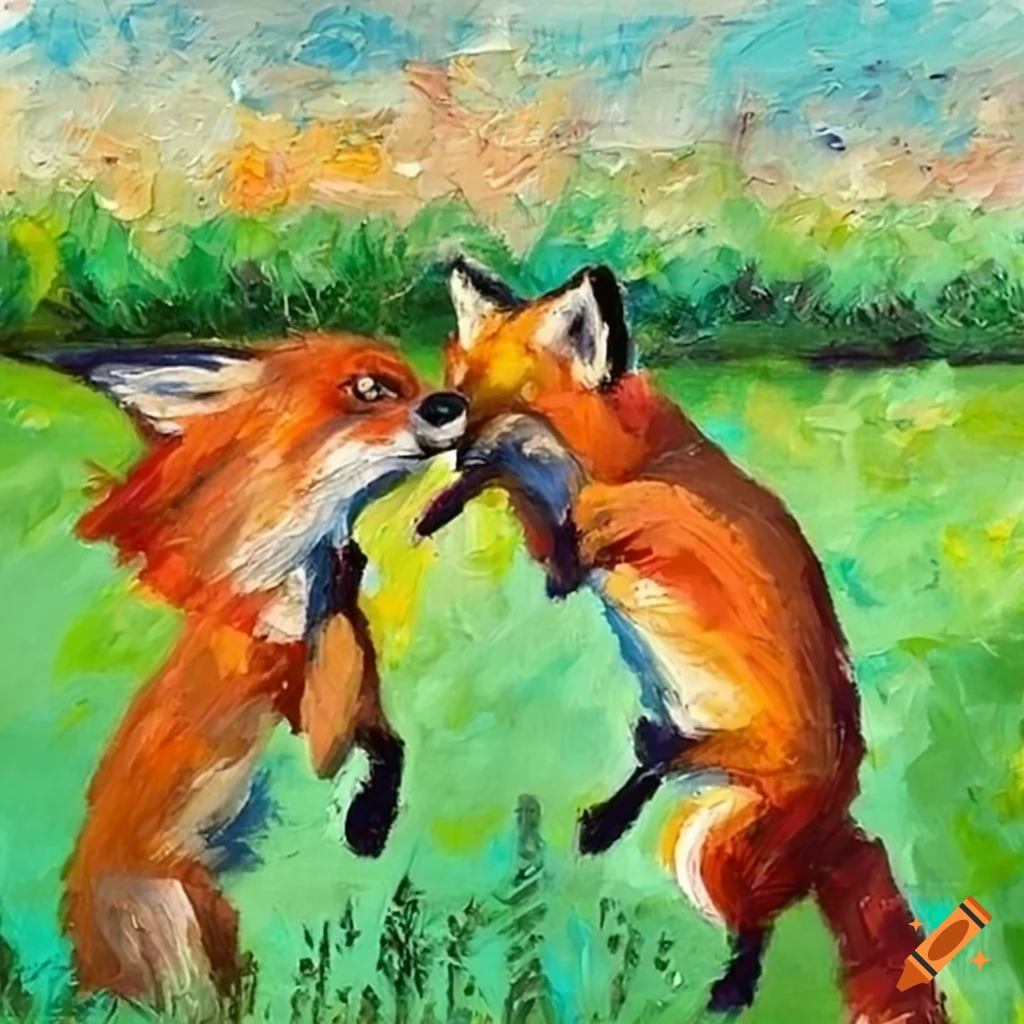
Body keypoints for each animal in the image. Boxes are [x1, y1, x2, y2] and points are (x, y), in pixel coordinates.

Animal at [32, 334, 467, 1010]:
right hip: (177, 943)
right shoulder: (310, 711)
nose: (454, 403)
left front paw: (369, 821)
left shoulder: (358, 700)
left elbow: (389, 744)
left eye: (414, 382)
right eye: (368, 389)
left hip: (222, 934)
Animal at [416, 260, 949, 1024]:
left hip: (705, 847)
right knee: (664, 766)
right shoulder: (563, 545)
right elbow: (523, 507)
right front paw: (445, 504)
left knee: (756, 923)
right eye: (454, 387)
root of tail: (836, 819)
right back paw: (618, 808)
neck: (638, 461)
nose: (434, 422)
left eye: (482, 401)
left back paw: (728, 990)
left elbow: (555, 517)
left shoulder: (609, 536)